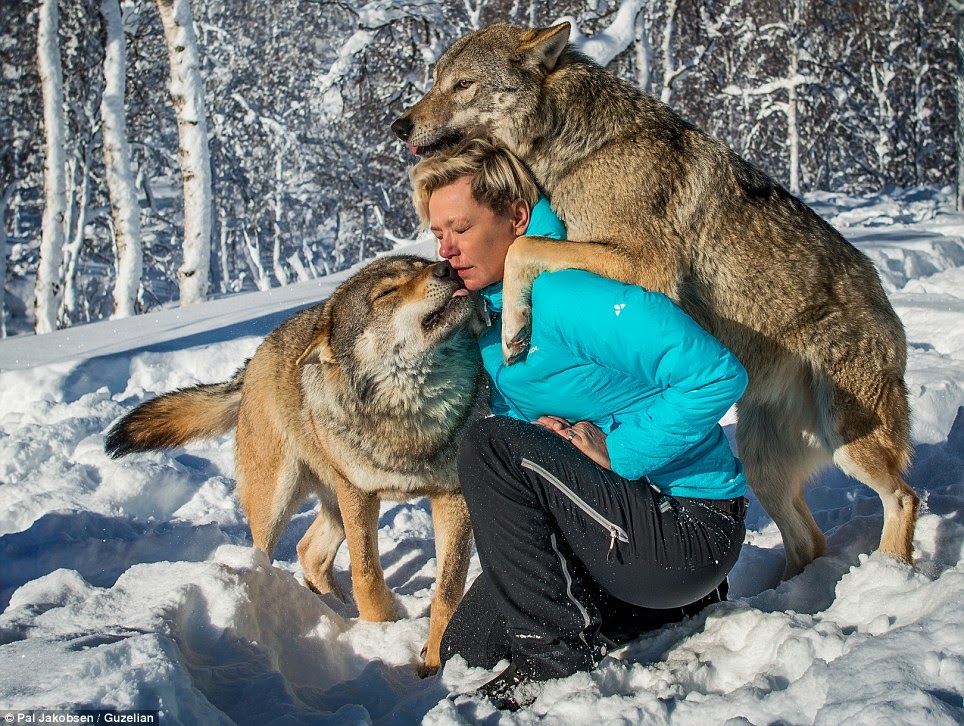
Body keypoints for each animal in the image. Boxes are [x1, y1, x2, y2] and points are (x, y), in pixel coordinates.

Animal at [105, 255, 488, 673]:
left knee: (309, 550)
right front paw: (382, 632)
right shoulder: (359, 493)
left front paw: (437, 659)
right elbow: (367, 574)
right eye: (386, 292)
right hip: (281, 500)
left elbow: (448, 589)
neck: (412, 416)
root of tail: (254, 358)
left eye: (424, 263)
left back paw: (331, 604)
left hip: (333, 504)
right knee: (268, 553)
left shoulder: (452, 496)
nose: (448, 268)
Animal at [392, 22, 918, 579]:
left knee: (904, 497)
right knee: (810, 540)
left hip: (849, 441)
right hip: (765, 466)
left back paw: (891, 572)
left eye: (463, 84)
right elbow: (527, 248)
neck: (579, 151)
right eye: (436, 80)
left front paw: (516, 328)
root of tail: (887, 307)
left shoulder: (646, 265)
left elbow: (522, 247)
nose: (399, 125)